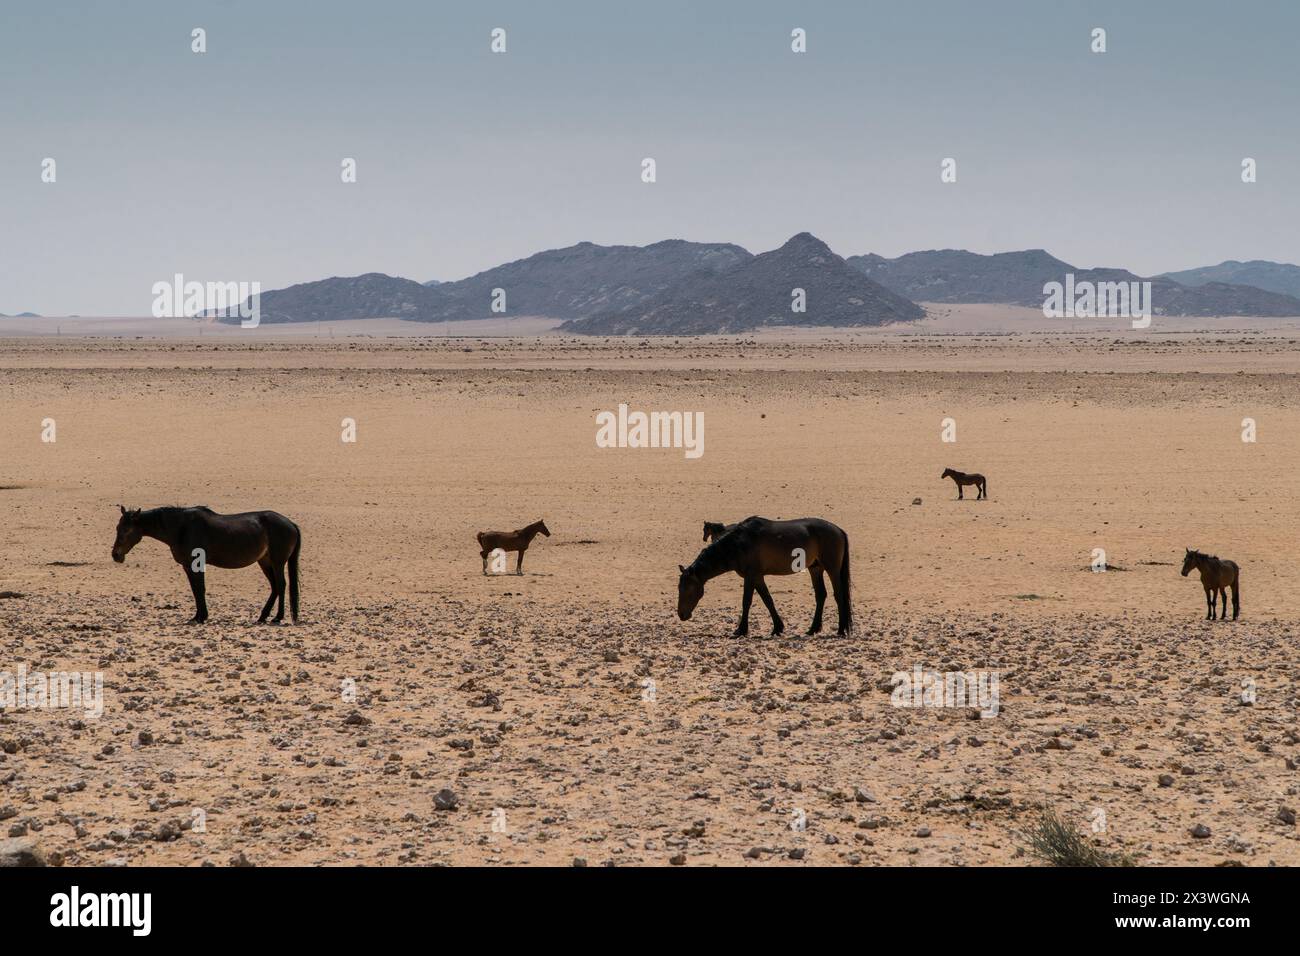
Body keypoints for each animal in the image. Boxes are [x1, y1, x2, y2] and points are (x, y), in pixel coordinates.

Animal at [111, 505, 301, 624]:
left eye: (127, 530)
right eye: (117, 527)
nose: (116, 555)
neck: (181, 528)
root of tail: (291, 524)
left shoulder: (197, 563)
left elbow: (200, 589)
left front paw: (202, 617)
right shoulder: (188, 566)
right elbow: (195, 590)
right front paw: (197, 616)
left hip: (277, 562)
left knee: (281, 585)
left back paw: (277, 617)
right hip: (264, 562)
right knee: (275, 587)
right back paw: (263, 616)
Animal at [677, 516, 852, 637]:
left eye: (688, 589)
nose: (681, 615)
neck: (739, 543)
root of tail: (838, 530)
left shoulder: (750, 576)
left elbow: (746, 601)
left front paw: (741, 630)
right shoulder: (758, 577)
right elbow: (768, 600)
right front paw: (777, 628)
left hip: (832, 569)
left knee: (839, 595)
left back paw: (841, 629)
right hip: (815, 569)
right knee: (821, 595)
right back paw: (813, 629)